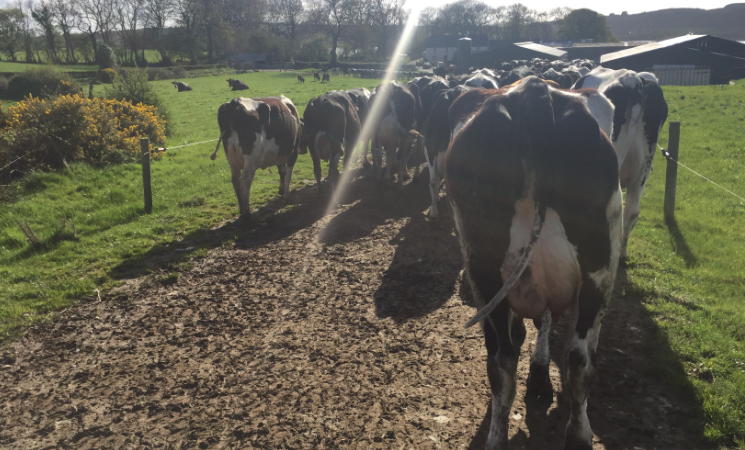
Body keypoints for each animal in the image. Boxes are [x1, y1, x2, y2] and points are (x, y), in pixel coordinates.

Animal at [446, 76, 622, 450]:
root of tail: (534, 89)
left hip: (486, 270)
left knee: (503, 360)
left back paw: (497, 438)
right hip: (597, 270)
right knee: (578, 359)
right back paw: (578, 434)